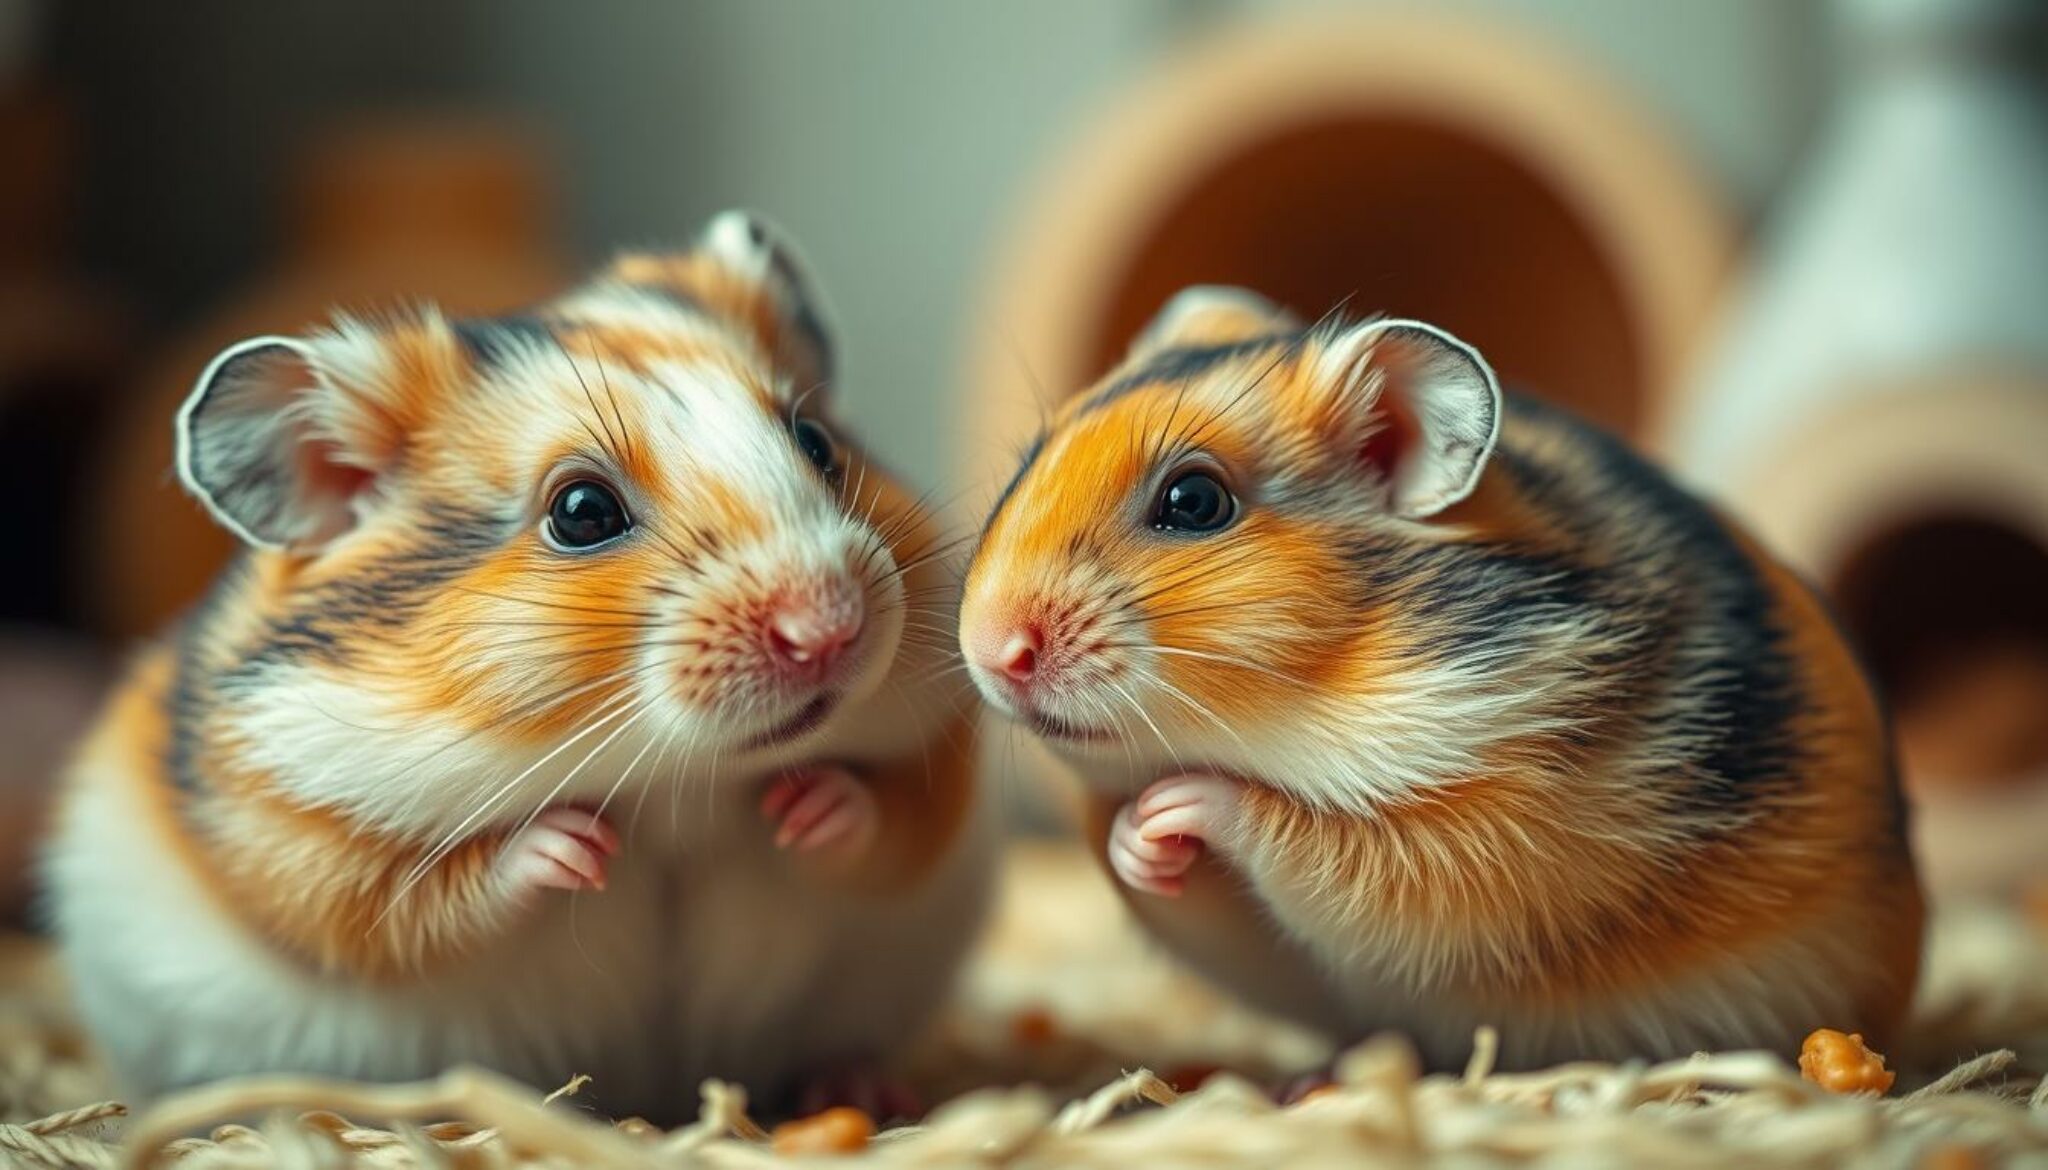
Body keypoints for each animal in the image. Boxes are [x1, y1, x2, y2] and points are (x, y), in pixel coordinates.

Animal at [46, 211, 989, 1115]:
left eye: (818, 442)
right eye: (581, 512)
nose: (829, 629)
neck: (679, 788)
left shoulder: (943, 751)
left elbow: (891, 823)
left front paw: (805, 805)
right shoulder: (289, 828)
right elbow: (412, 900)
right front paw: (577, 847)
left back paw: (861, 1089)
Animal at [958, 286, 1923, 1070]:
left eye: (1194, 503)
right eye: (1032, 457)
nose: (988, 649)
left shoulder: (1501, 837)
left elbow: (1311, 840)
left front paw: (1177, 806)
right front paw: (1137, 837)